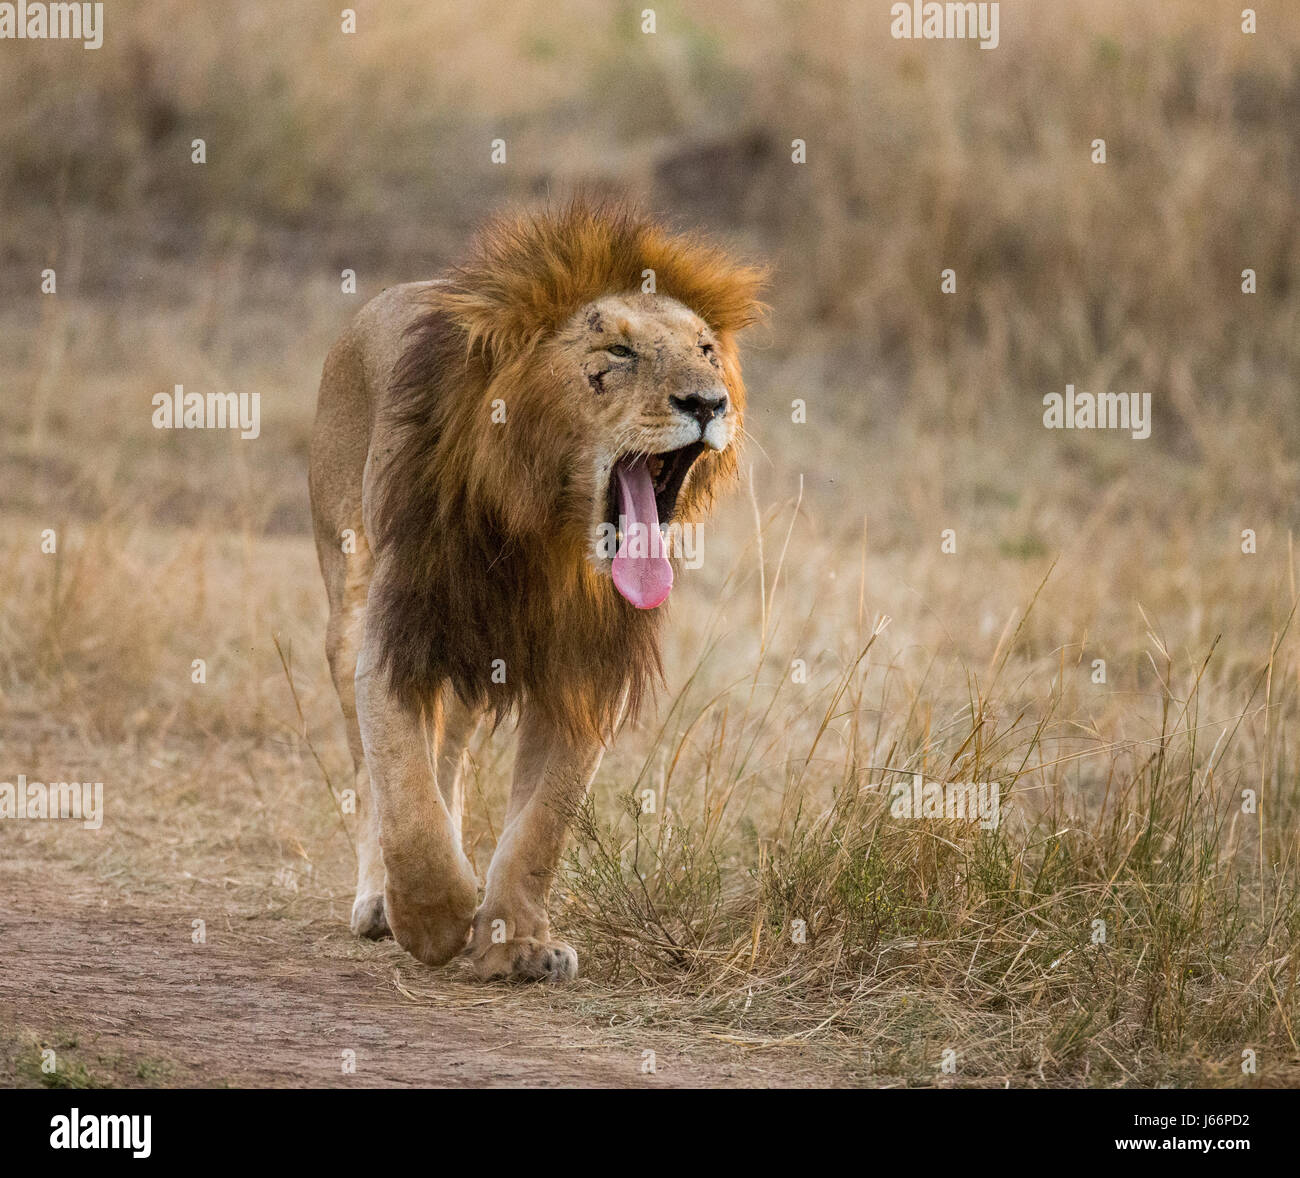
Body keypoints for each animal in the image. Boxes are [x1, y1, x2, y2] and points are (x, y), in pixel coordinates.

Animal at [308, 198, 765, 981]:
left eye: (707, 350)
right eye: (617, 352)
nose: (709, 402)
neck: (545, 537)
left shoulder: (585, 673)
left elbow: (542, 824)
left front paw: (517, 941)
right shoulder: (397, 637)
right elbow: (403, 793)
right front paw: (433, 917)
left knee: (450, 754)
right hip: (350, 602)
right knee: (372, 773)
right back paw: (378, 902)